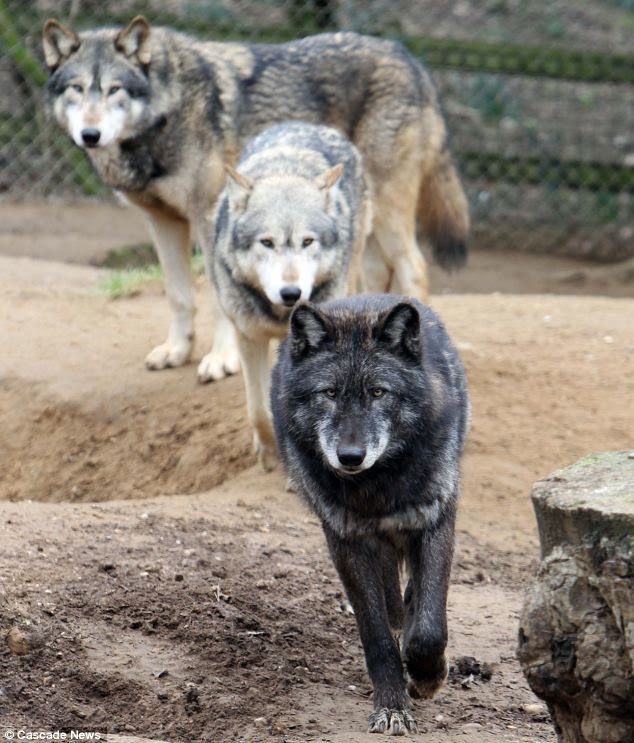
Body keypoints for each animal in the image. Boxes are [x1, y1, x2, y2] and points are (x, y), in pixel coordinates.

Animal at [42, 16, 470, 380]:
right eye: (77, 89)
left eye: (114, 89)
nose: (90, 134)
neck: (168, 110)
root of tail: (410, 58)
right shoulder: (161, 220)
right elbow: (179, 294)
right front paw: (177, 350)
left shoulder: (207, 216)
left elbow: (217, 300)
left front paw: (220, 359)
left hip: (387, 210)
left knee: (414, 265)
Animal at [211, 121, 371, 470]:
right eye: (266, 242)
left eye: (307, 241)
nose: (291, 293)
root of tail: (308, 125)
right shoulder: (248, 337)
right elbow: (257, 410)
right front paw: (269, 453)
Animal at [270, 294, 470, 734]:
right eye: (329, 392)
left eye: (379, 392)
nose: (349, 456)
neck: (379, 485)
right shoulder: (347, 541)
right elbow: (376, 633)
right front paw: (392, 704)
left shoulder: (435, 520)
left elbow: (430, 628)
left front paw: (428, 676)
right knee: (392, 604)